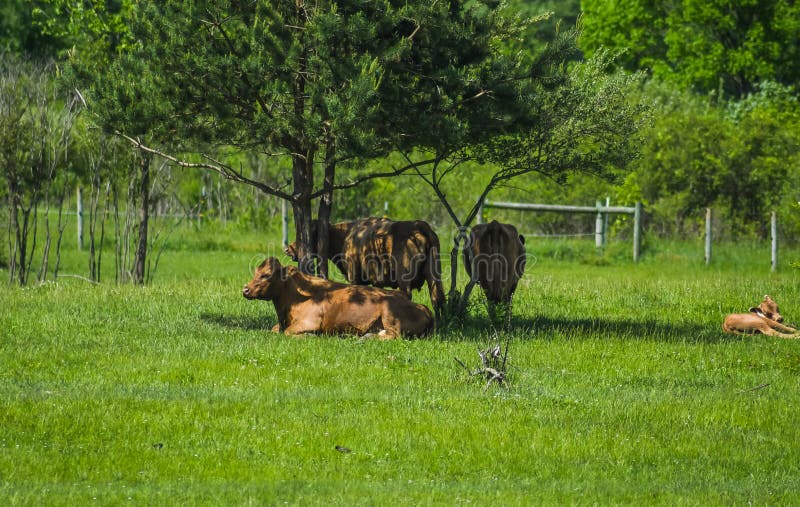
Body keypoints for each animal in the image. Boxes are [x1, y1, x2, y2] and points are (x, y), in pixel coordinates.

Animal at [242, 257, 433, 338]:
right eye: (256, 272)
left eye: (266, 275)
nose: (245, 289)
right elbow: (273, 330)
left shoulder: (310, 322)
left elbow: (288, 333)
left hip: (390, 313)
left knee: (394, 335)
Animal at [285, 217, 445, 317]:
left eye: (302, 237)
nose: (287, 249)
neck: (345, 235)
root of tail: (419, 226)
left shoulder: (355, 277)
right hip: (434, 276)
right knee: (437, 299)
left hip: (404, 279)